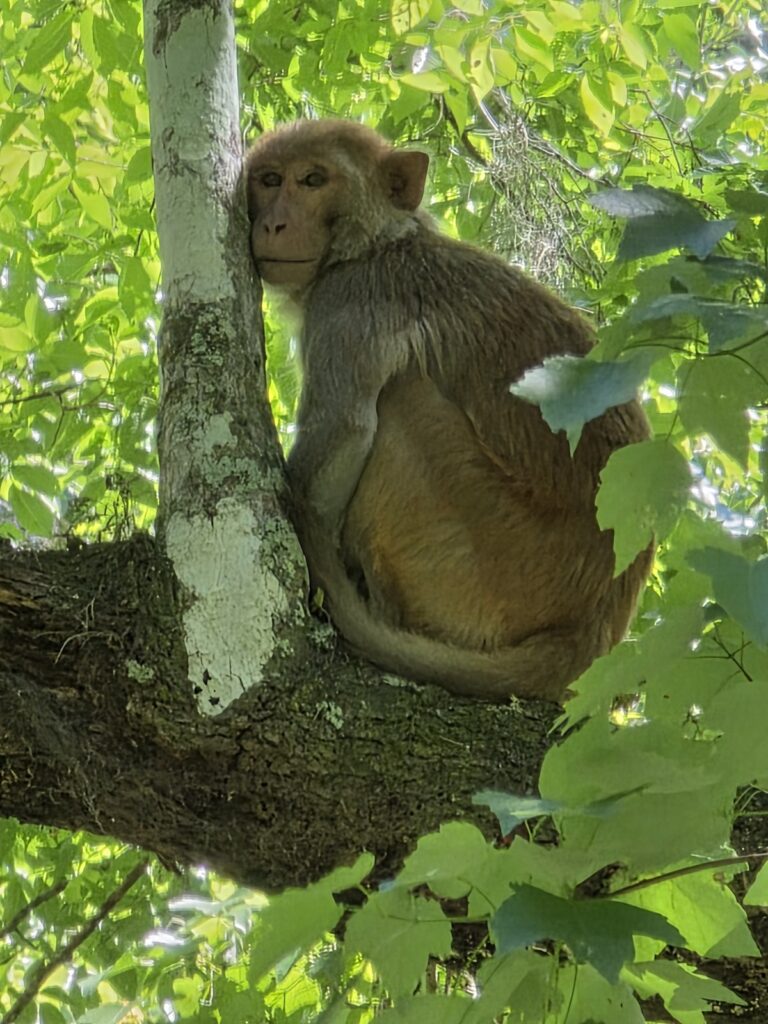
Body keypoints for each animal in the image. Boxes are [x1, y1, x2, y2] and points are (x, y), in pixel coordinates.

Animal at [245, 119, 652, 702]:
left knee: (401, 398)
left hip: (485, 566)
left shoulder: (350, 301)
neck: (373, 245)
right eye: (270, 179)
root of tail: (592, 633)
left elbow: (342, 434)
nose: (275, 222)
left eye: (313, 180)